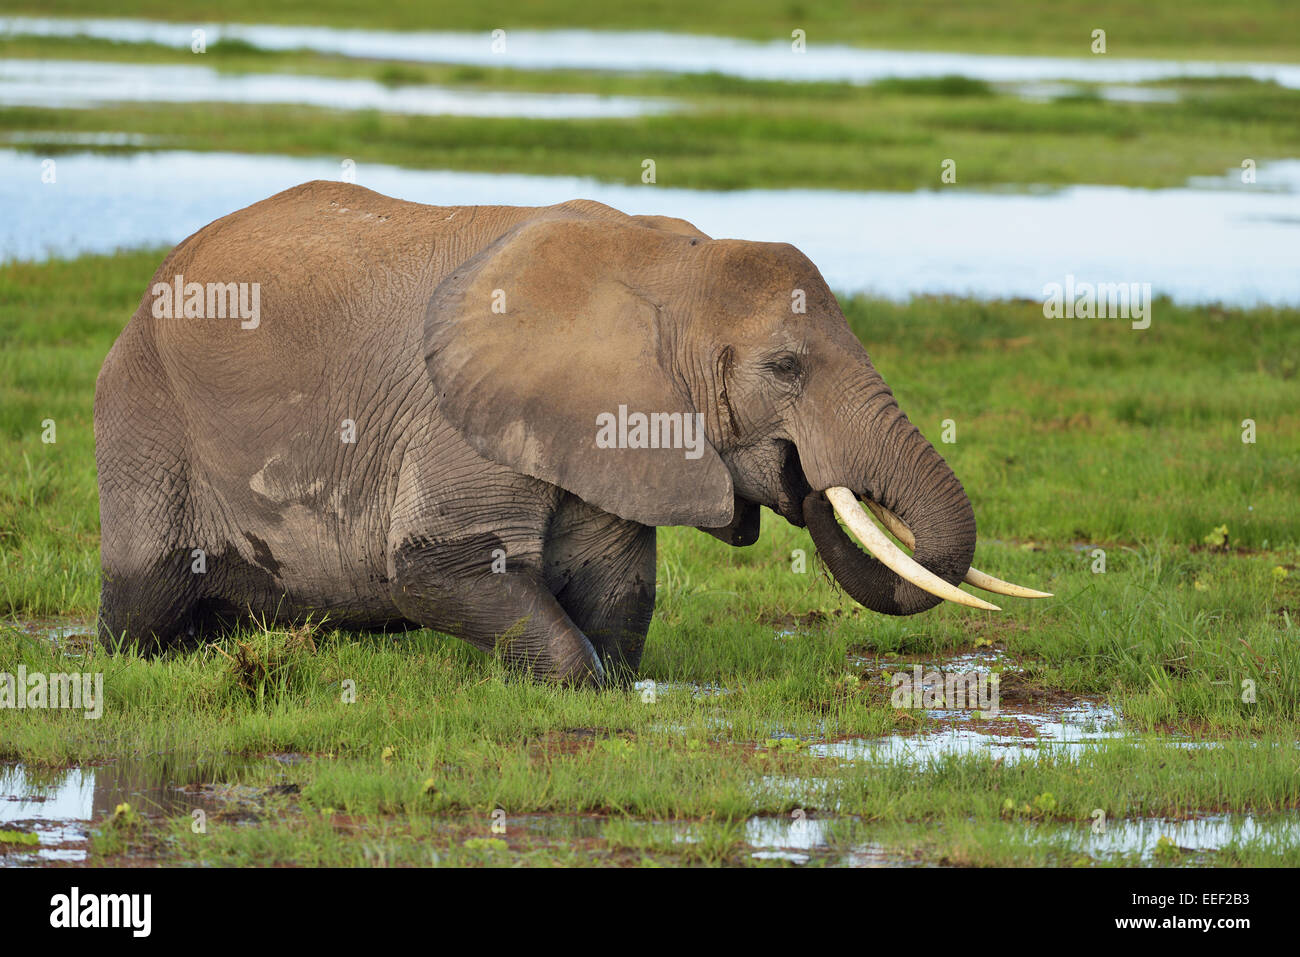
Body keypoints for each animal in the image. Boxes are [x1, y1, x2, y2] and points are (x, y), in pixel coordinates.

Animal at [94, 180, 1048, 684]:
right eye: (785, 368)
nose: (807, 476)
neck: (663, 262)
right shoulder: (459, 417)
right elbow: (436, 568)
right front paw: (579, 684)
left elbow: (619, 587)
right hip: (144, 410)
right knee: (143, 603)